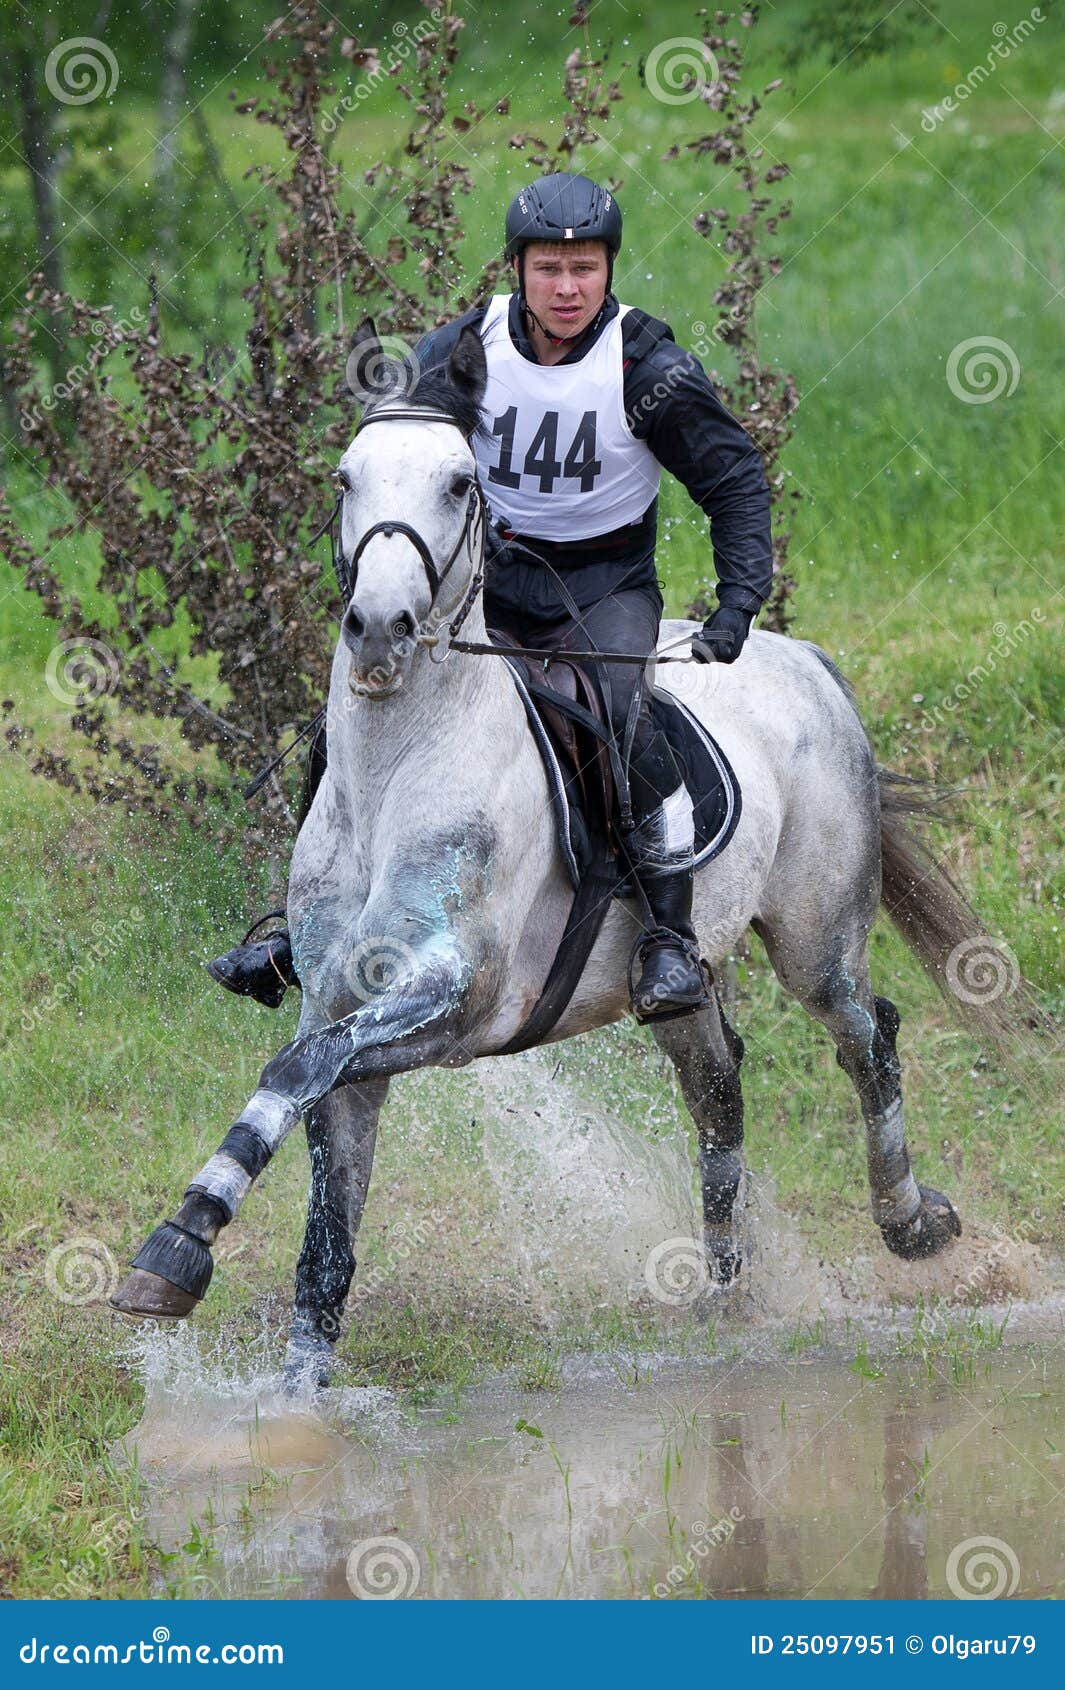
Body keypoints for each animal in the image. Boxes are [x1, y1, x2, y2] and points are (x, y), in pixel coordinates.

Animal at [112, 323, 1016, 1383]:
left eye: (459, 482)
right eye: (345, 478)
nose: (378, 630)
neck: (398, 772)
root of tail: (802, 660)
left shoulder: (452, 1000)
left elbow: (295, 1074)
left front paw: (177, 1245)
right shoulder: (345, 1018)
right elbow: (324, 1210)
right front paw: (292, 1386)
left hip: (815, 940)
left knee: (866, 1038)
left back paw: (912, 1224)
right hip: (682, 982)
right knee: (717, 1083)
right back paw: (727, 1294)